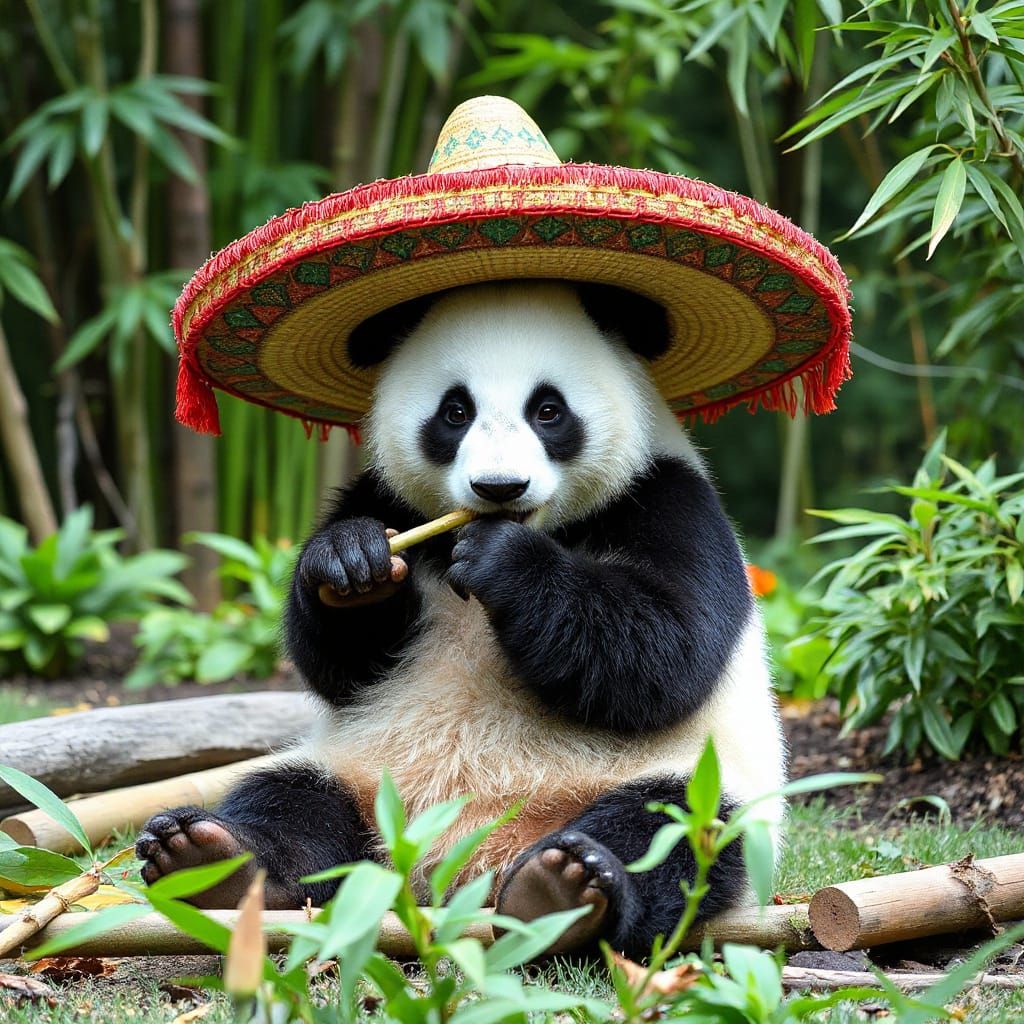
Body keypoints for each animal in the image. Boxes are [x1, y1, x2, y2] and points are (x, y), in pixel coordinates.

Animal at [136, 280, 787, 959]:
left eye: (548, 411)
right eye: (455, 412)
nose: (499, 487)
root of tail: (461, 864)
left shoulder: (670, 498)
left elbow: (665, 652)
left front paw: (504, 563)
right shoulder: (383, 497)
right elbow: (339, 666)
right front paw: (351, 563)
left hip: (696, 781)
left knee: (669, 830)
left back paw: (564, 886)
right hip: (361, 772)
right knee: (291, 802)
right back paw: (210, 858)